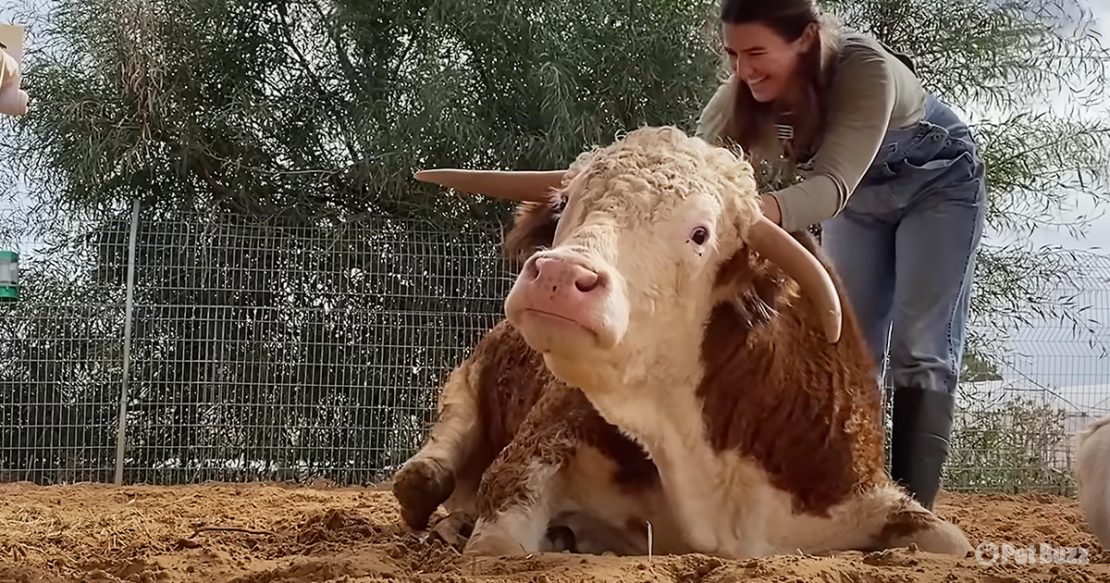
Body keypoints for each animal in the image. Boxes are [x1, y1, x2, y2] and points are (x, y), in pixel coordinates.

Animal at [409, 125, 975, 559]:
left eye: (700, 234)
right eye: (567, 201)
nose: (560, 276)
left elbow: (953, 543)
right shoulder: (541, 443)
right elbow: (499, 538)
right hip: (463, 386)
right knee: (426, 473)